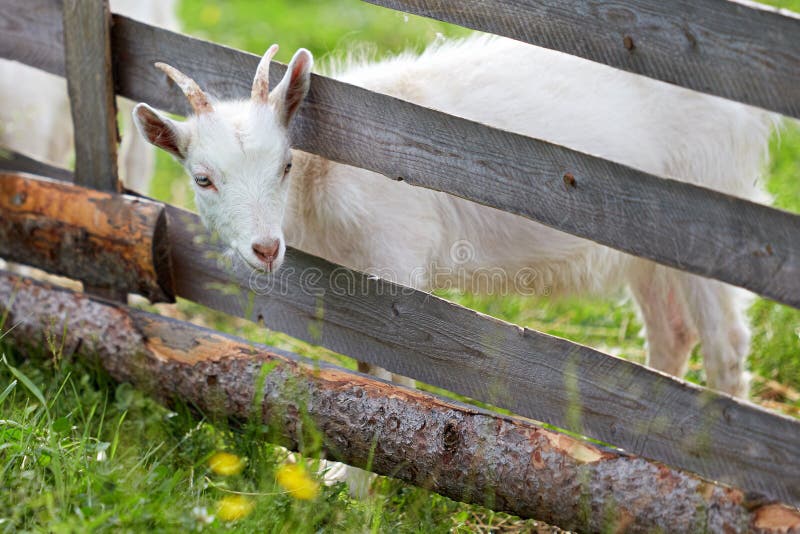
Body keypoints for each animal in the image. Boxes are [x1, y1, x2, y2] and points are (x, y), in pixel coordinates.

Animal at [132, 36, 776, 398]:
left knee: (725, 343)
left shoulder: (395, 265)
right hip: (647, 247)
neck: (324, 179)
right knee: (673, 335)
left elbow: (390, 371)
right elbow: (361, 362)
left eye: (284, 164)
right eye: (203, 179)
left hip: (709, 221)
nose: (266, 248)